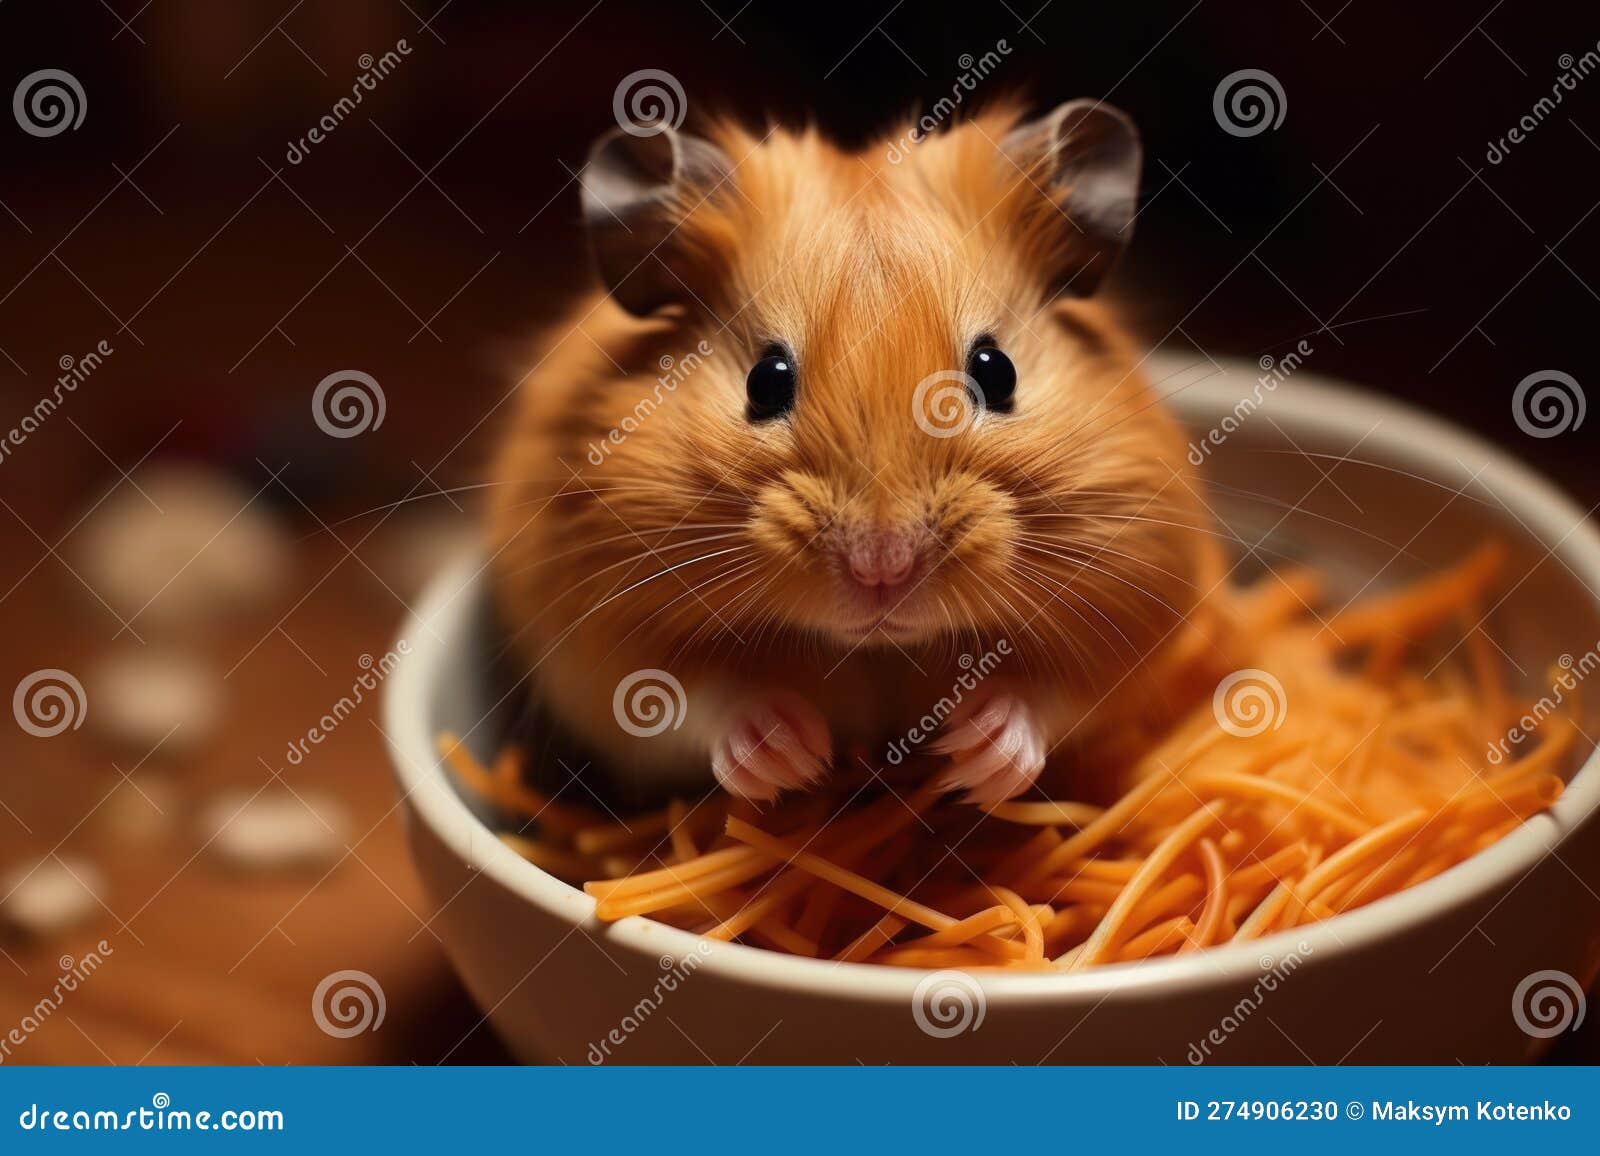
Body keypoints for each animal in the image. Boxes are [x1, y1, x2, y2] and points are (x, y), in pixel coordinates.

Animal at [487, 99, 1208, 805]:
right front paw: (795, 754)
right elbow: (695, 702)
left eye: (996, 372)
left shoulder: (1127, 615)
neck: (874, 651)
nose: (880, 569)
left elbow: (1050, 701)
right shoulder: (596, 648)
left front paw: (972, 752)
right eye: (765, 381)